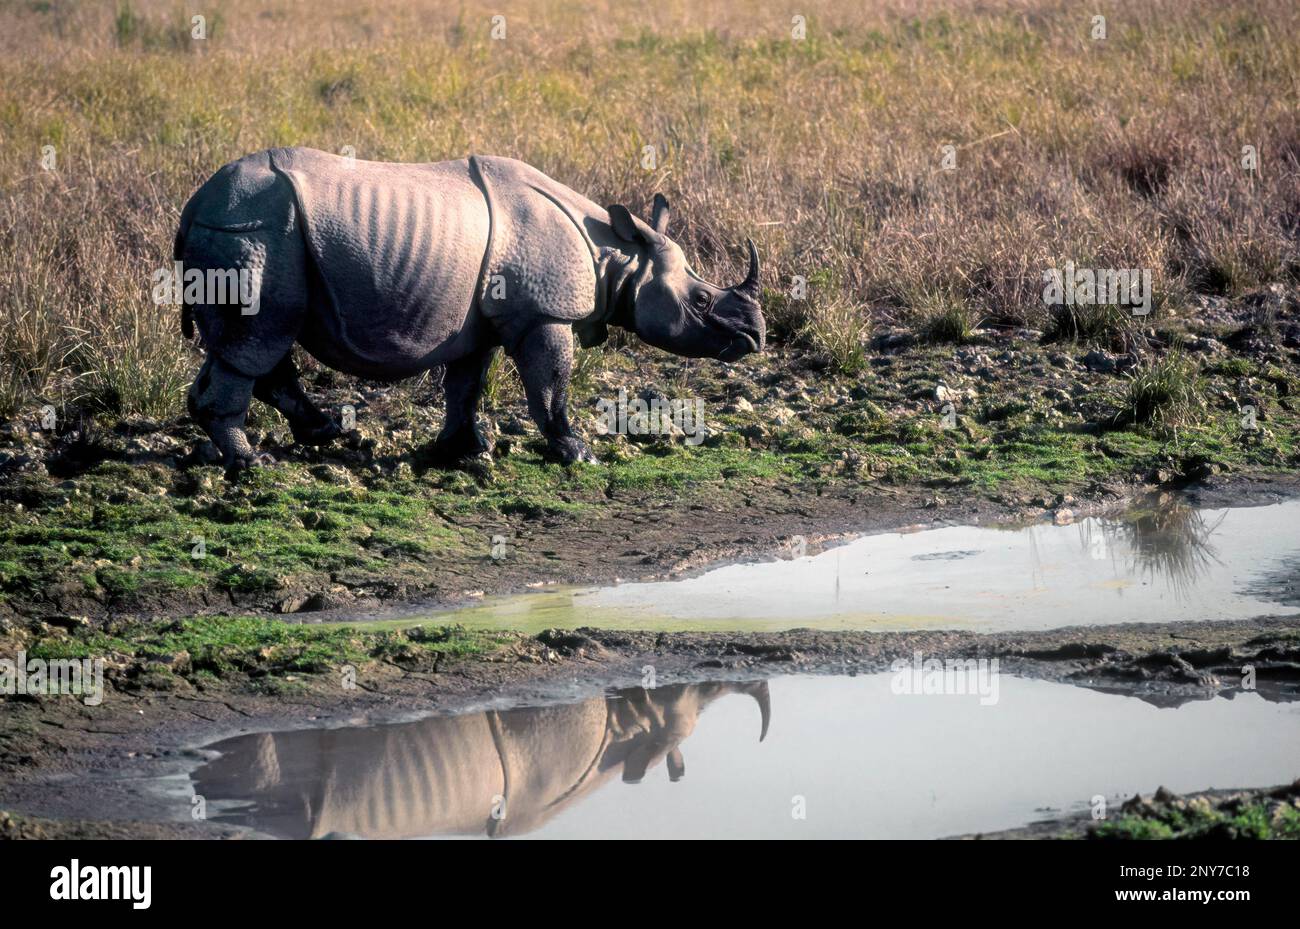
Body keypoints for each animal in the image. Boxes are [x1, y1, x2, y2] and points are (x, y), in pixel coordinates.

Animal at [174, 148, 766, 470]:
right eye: (701, 301)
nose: (755, 336)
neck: (616, 256)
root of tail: (194, 203)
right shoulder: (544, 313)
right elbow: (550, 384)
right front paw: (577, 452)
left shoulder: (476, 321)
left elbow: (466, 383)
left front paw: (460, 450)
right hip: (254, 234)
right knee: (257, 338)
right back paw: (250, 463)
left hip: (250, 236)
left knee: (252, 344)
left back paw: (324, 435)